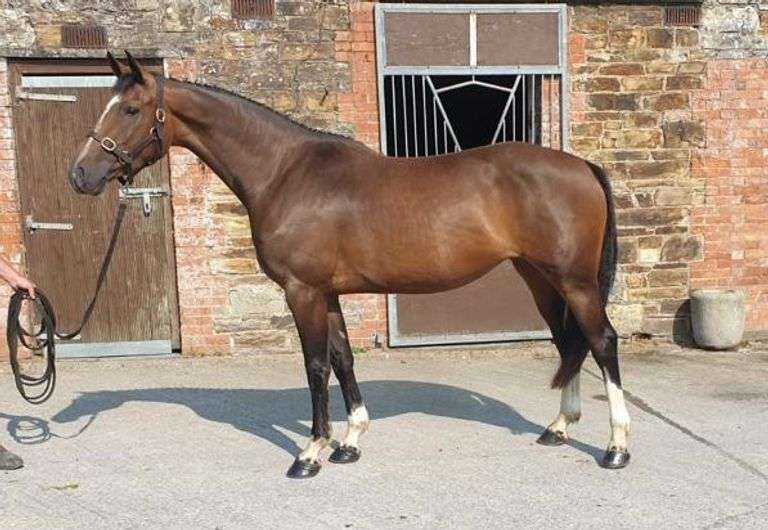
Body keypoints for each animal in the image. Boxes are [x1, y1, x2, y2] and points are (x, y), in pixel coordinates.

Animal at [69, 52, 631, 479]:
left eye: (131, 108)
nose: (81, 175)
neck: (285, 172)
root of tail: (583, 165)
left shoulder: (301, 290)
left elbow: (315, 367)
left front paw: (310, 453)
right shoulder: (329, 292)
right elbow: (342, 360)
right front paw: (350, 441)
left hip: (574, 281)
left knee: (601, 341)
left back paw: (616, 447)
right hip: (539, 278)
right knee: (569, 343)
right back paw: (558, 428)